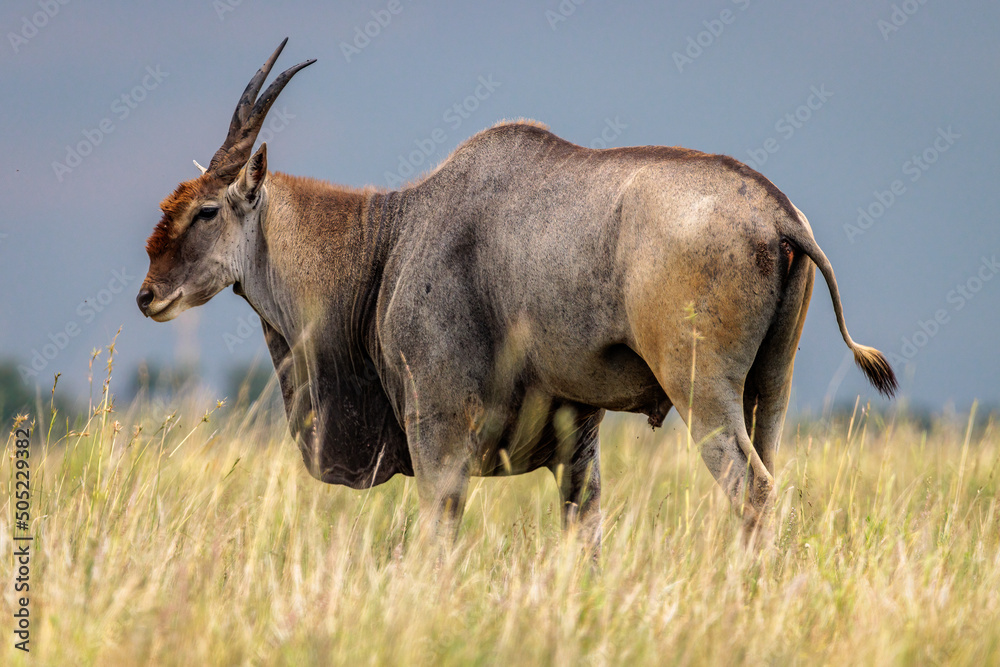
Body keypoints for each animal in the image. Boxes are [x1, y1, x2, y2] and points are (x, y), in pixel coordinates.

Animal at [137, 40, 895, 548]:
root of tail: (778, 213)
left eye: (207, 210)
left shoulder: (438, 440)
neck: (389, 236)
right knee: (771, 478)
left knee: (753, 488)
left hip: (702, 393)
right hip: (769, 391)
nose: (148, 295)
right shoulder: (578, 451)